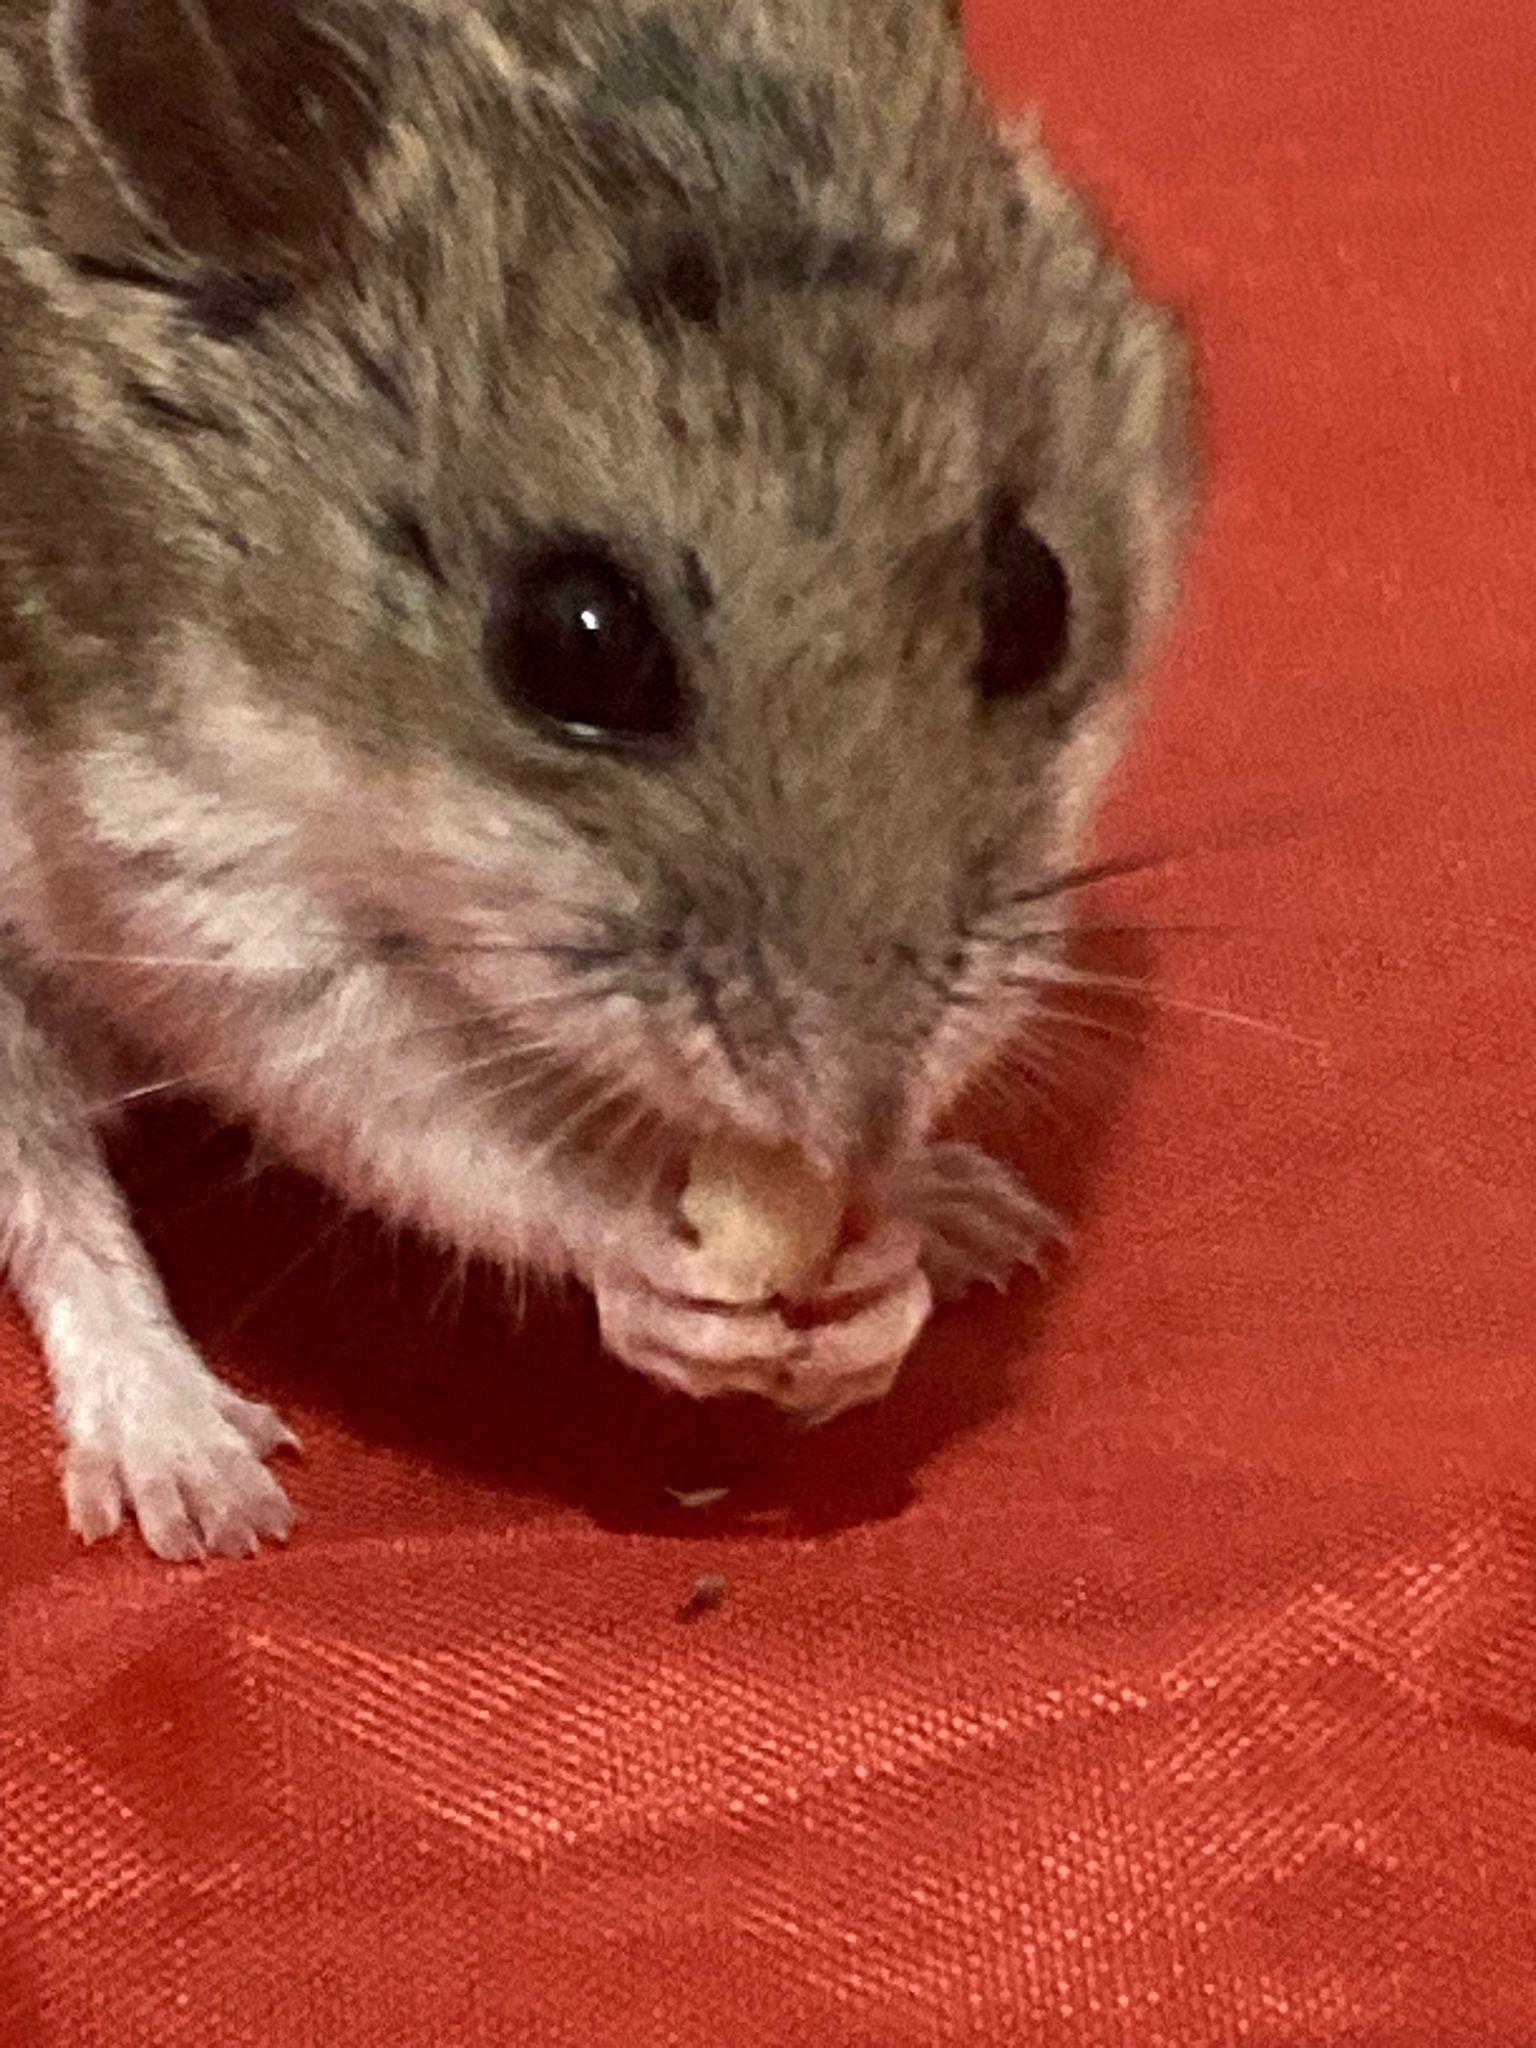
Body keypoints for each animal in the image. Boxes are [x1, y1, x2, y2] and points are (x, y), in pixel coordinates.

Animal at [0, 0, 1193, 1559]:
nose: (863, 1122)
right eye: (575, 641)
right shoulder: (189, 877)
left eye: (1034, 596)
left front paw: (897, 1261)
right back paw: (201, 1493)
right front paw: (681, 1278)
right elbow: (431, 1121)